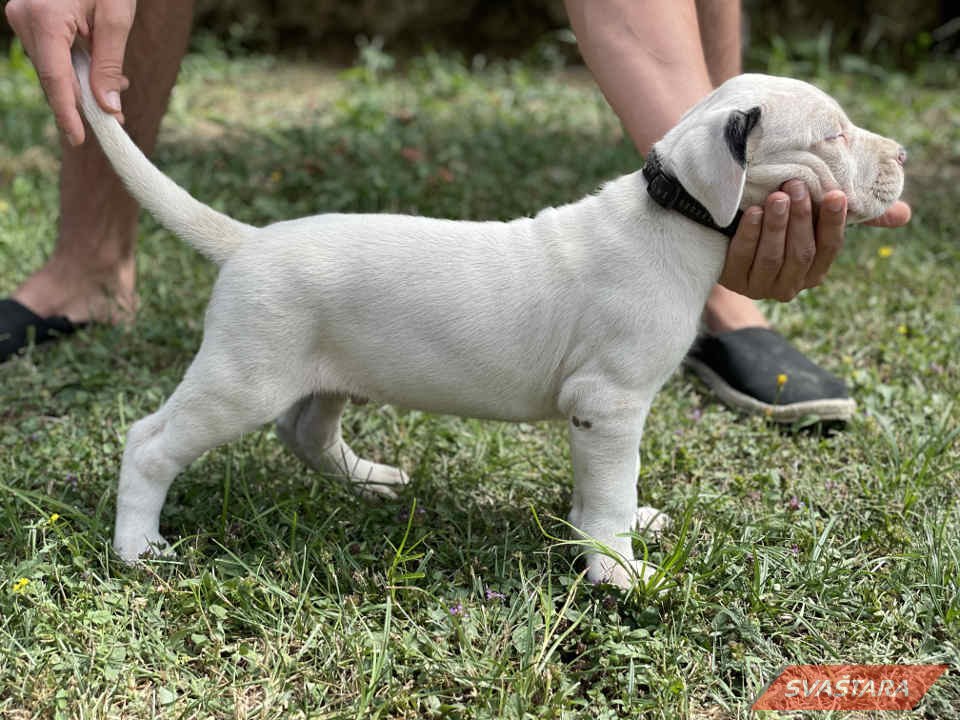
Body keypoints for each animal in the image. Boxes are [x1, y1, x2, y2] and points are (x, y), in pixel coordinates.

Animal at [71, 52, 904, 592]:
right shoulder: (609, 403)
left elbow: (600, 491)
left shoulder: (598, 417)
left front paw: (614, 533)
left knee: (305, 432)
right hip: (242, 376)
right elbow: (609, 489)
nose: (900, 153)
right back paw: (138, 548)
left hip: (324, 372)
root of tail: (249, 242)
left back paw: (370, 480)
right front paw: (618, 569)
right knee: (150, 443)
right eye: (832, 135)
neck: (675, 210)